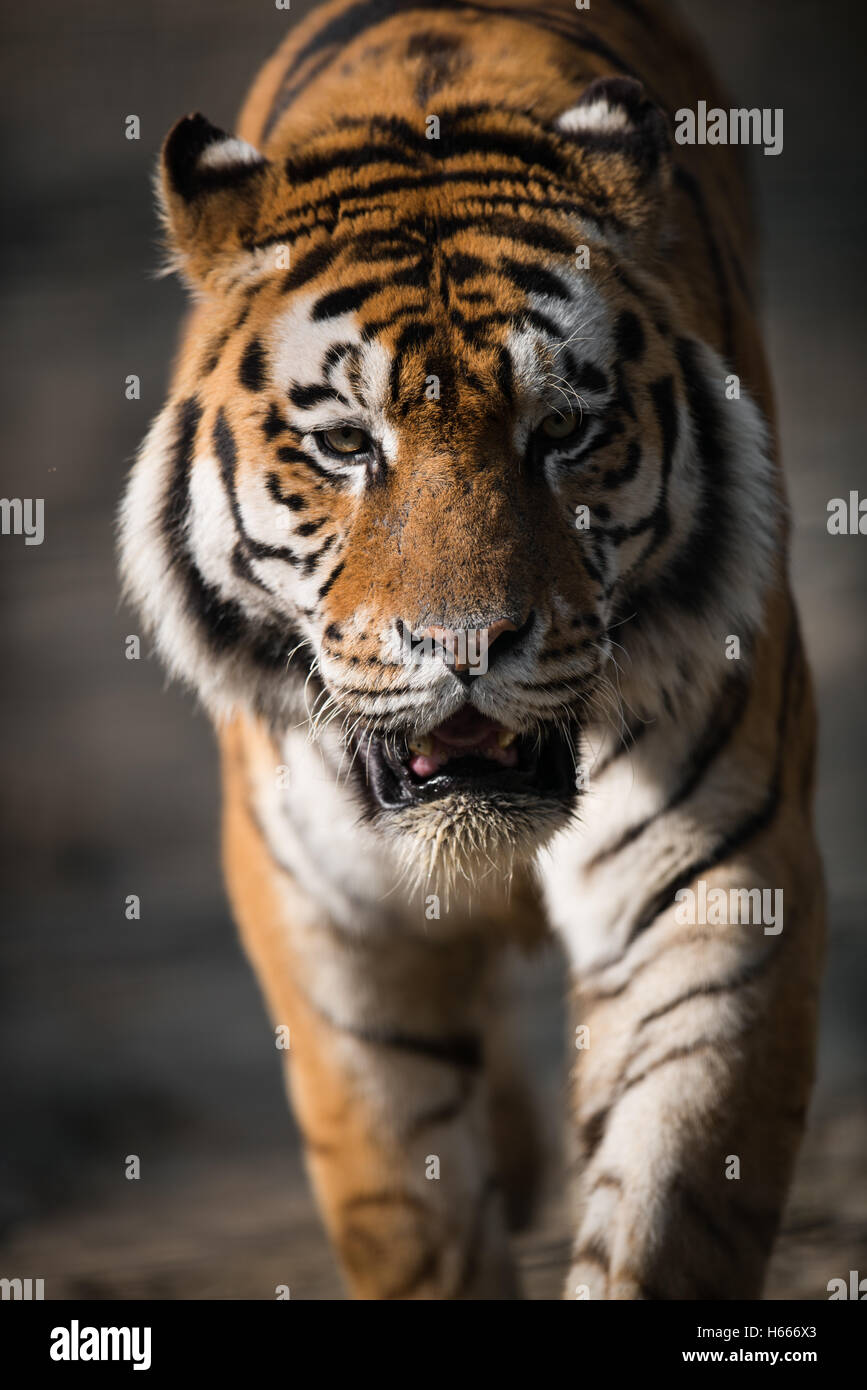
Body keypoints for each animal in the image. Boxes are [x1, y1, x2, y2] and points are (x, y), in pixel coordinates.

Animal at [119, 0, 825, 1300]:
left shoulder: (718, 890)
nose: (465, 643)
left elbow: (670, 1203)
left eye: (565, 429)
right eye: (347, 443)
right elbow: (414, 1211)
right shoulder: (335, 935)